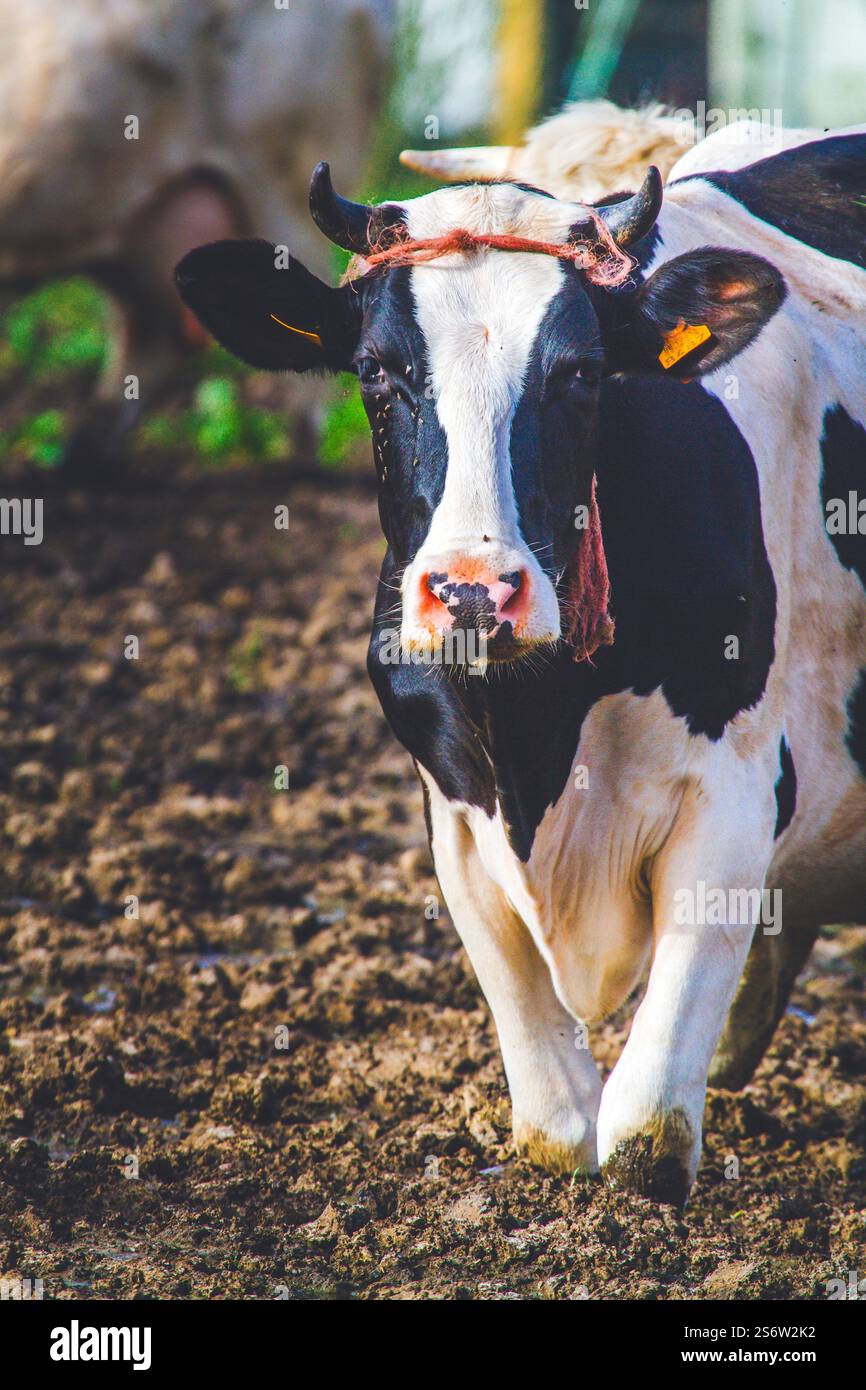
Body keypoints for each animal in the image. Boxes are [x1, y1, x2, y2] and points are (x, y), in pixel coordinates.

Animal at [174, 126, 866, 1206]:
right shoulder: (453, 802)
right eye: (376, 370)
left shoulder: (737, 787)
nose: (469, 593)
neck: (542, 725)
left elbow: (641, 1129)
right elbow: (547, 1103)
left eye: (579, 372)